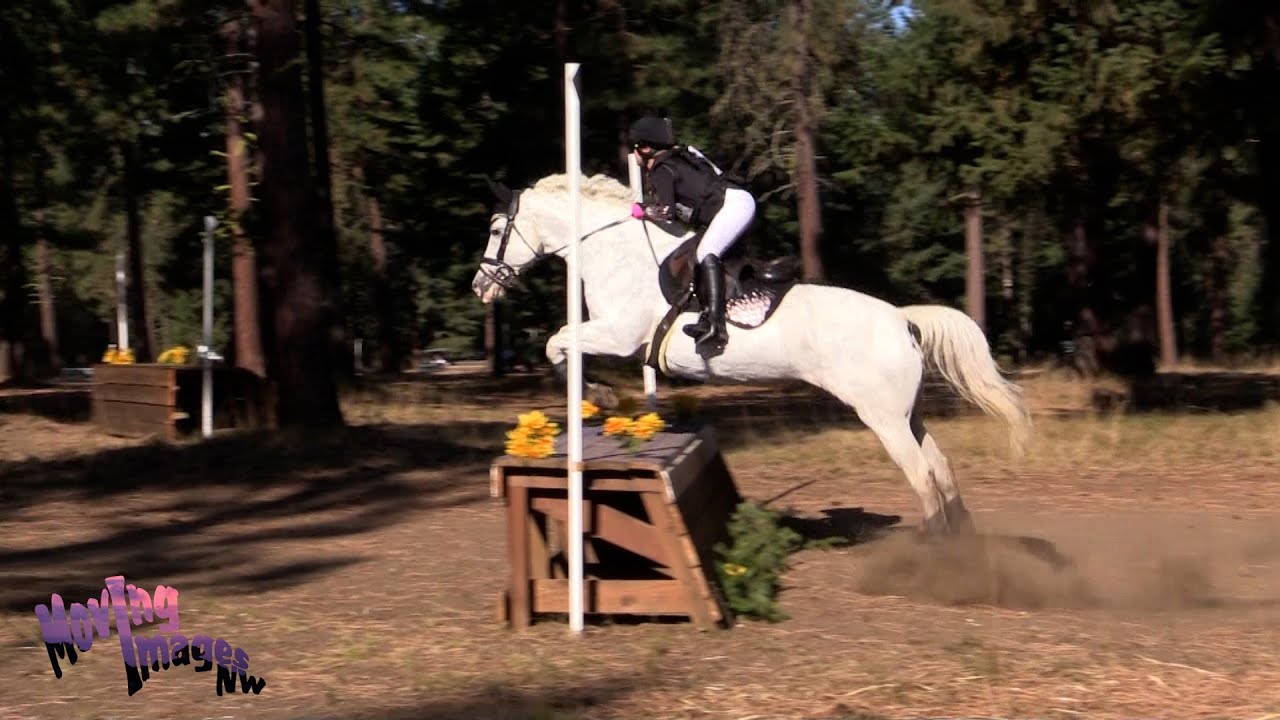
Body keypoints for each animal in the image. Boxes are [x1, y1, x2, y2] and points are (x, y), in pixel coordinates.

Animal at [470, 172, 1033, 535]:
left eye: (496, 230)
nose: (481, 285)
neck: (617, 252)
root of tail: (901, 318)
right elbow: (559, 342)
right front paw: (600, 396)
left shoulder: (618, 334)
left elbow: (557, 342)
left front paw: (600, 394)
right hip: (906, 413)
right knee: (940, 467)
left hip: (883, 417)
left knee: (922, 476)